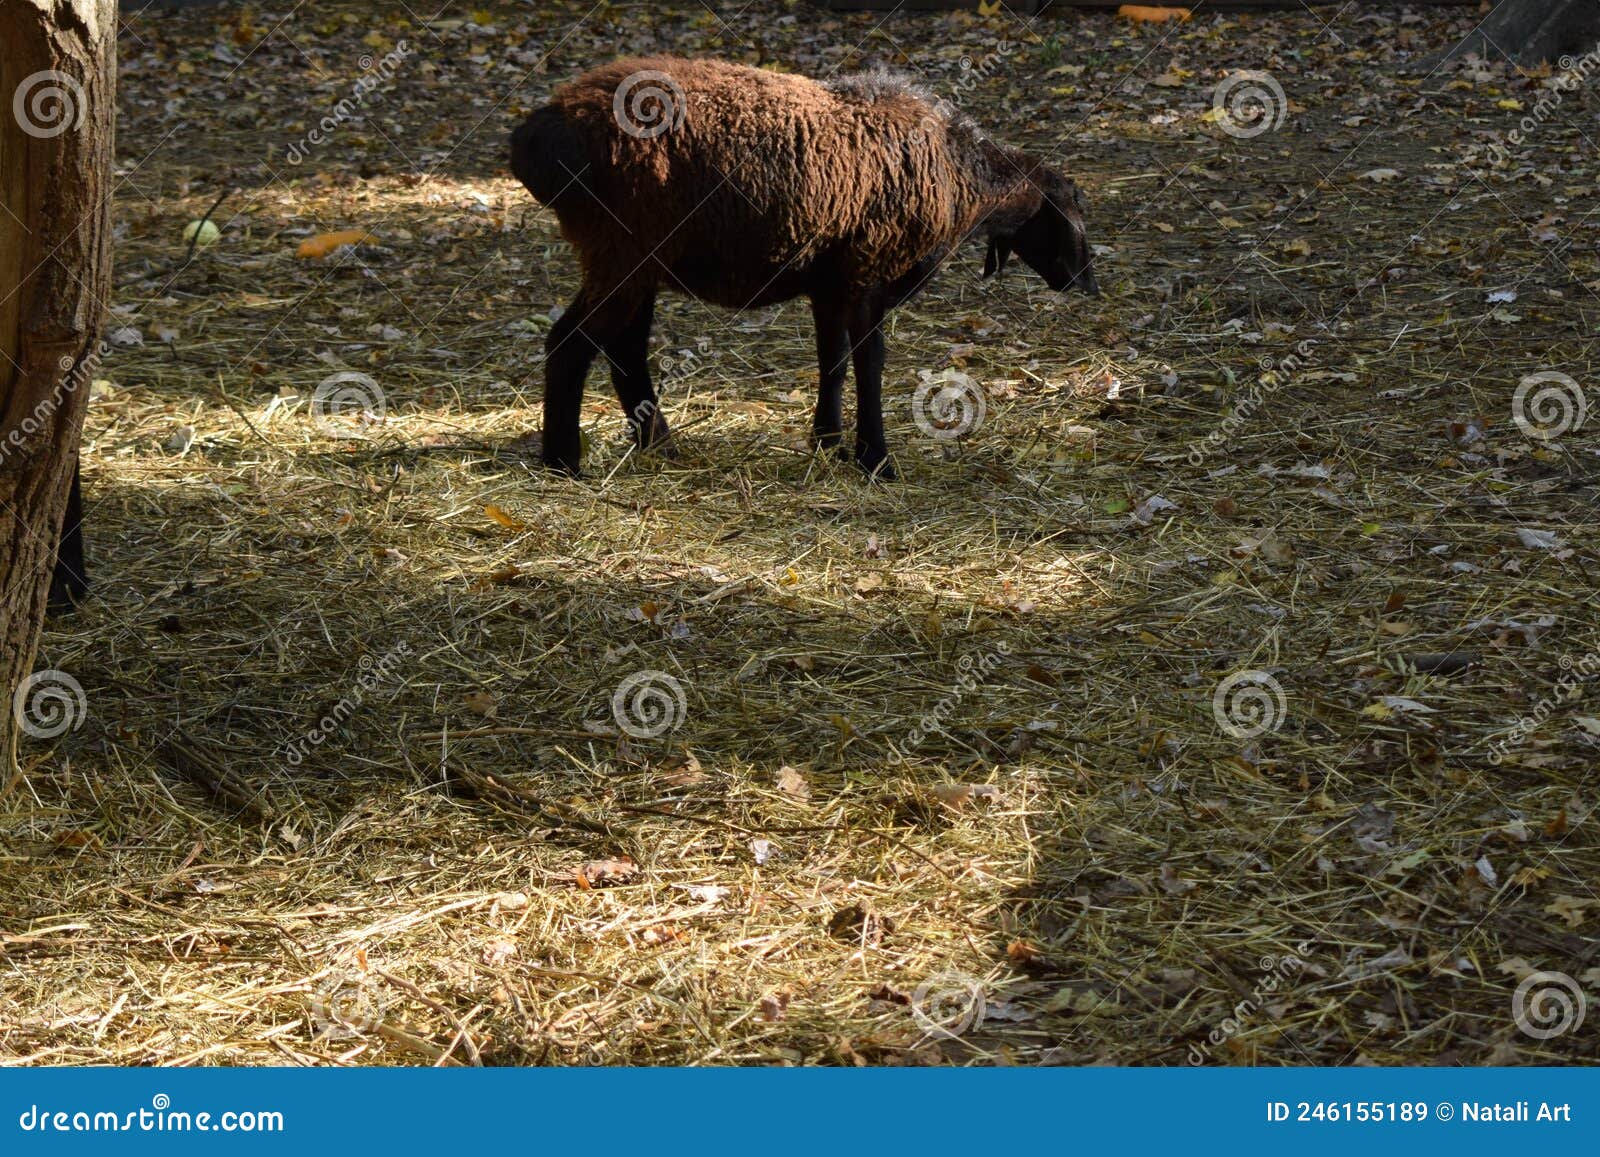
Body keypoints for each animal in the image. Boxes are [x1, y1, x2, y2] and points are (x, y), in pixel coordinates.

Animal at [509, 55, 1098, 479]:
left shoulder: (830, 285)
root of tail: (535, 140)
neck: (962, 181)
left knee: (623, 349)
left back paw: (658, 445)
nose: (1085, 282)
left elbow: (831, 362)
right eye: (1069, 215)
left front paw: (828, 442)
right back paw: (564, 462)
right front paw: (875, 460)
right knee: (571, 343)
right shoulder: (867, 273)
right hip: (621, 253)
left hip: (635, 263)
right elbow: (869, 364)